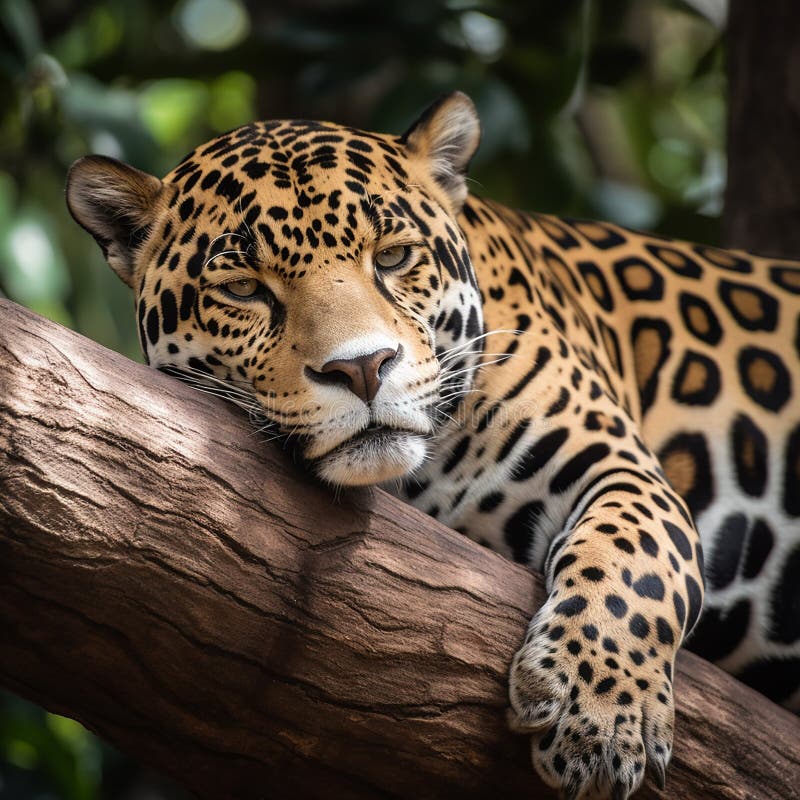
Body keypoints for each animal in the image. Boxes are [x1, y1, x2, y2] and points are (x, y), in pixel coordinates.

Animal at [66, 92, 800, 799]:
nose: (362, 368)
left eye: (393, 257)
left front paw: (598, 712)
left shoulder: (617, 461)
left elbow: (637, 561)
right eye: (244, 289)